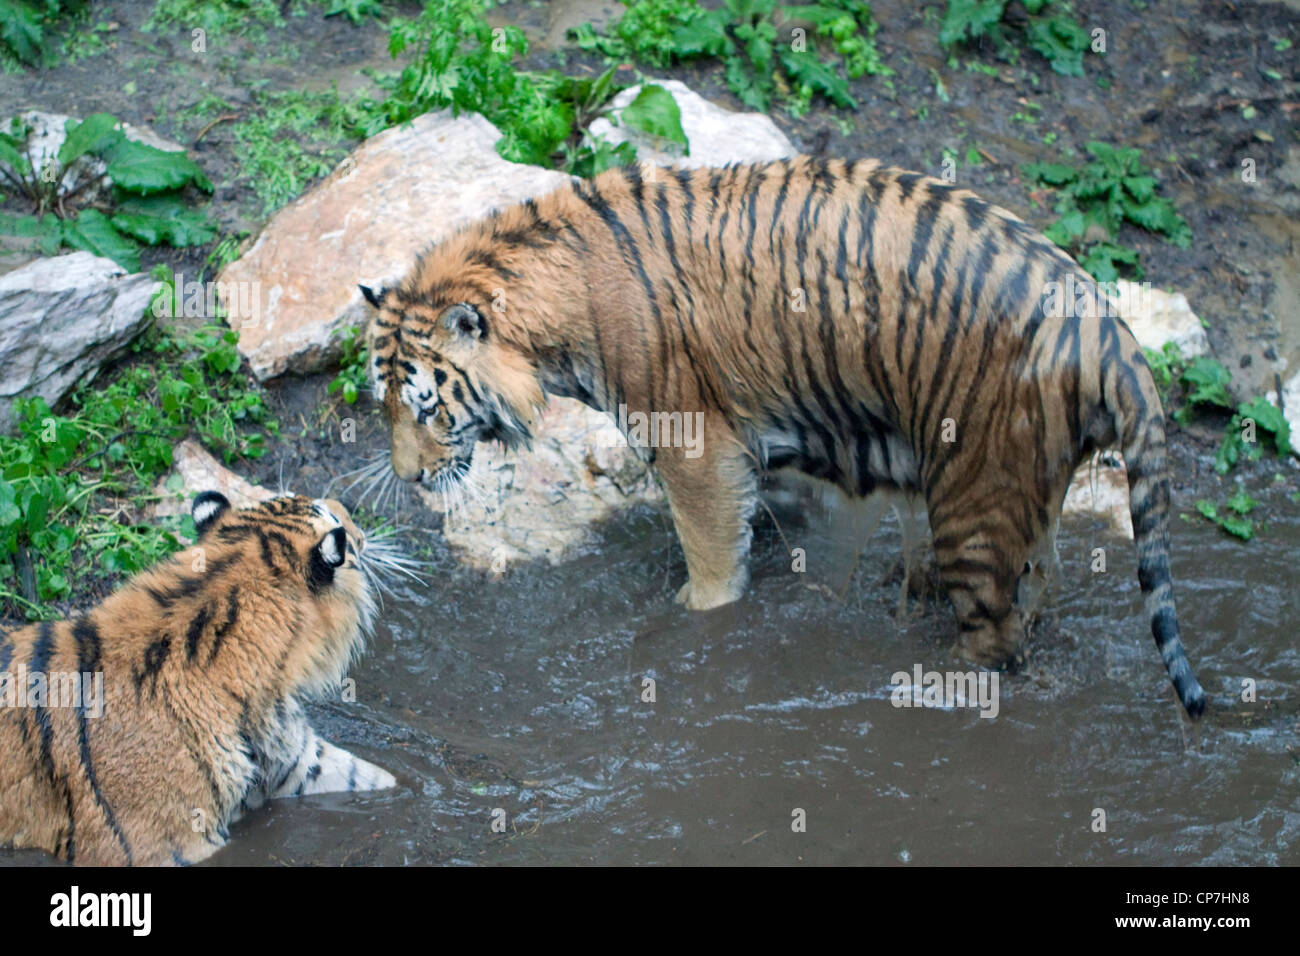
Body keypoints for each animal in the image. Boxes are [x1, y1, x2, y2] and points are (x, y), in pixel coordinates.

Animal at [360, 155, 1207, 719]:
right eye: (384, 402)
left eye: (428, 406)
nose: (406, 477)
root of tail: (1110, 332)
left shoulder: (693, 442)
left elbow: (710, 559)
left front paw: (697, 617)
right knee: (1036, 595)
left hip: (978, 490)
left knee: (994, 643)